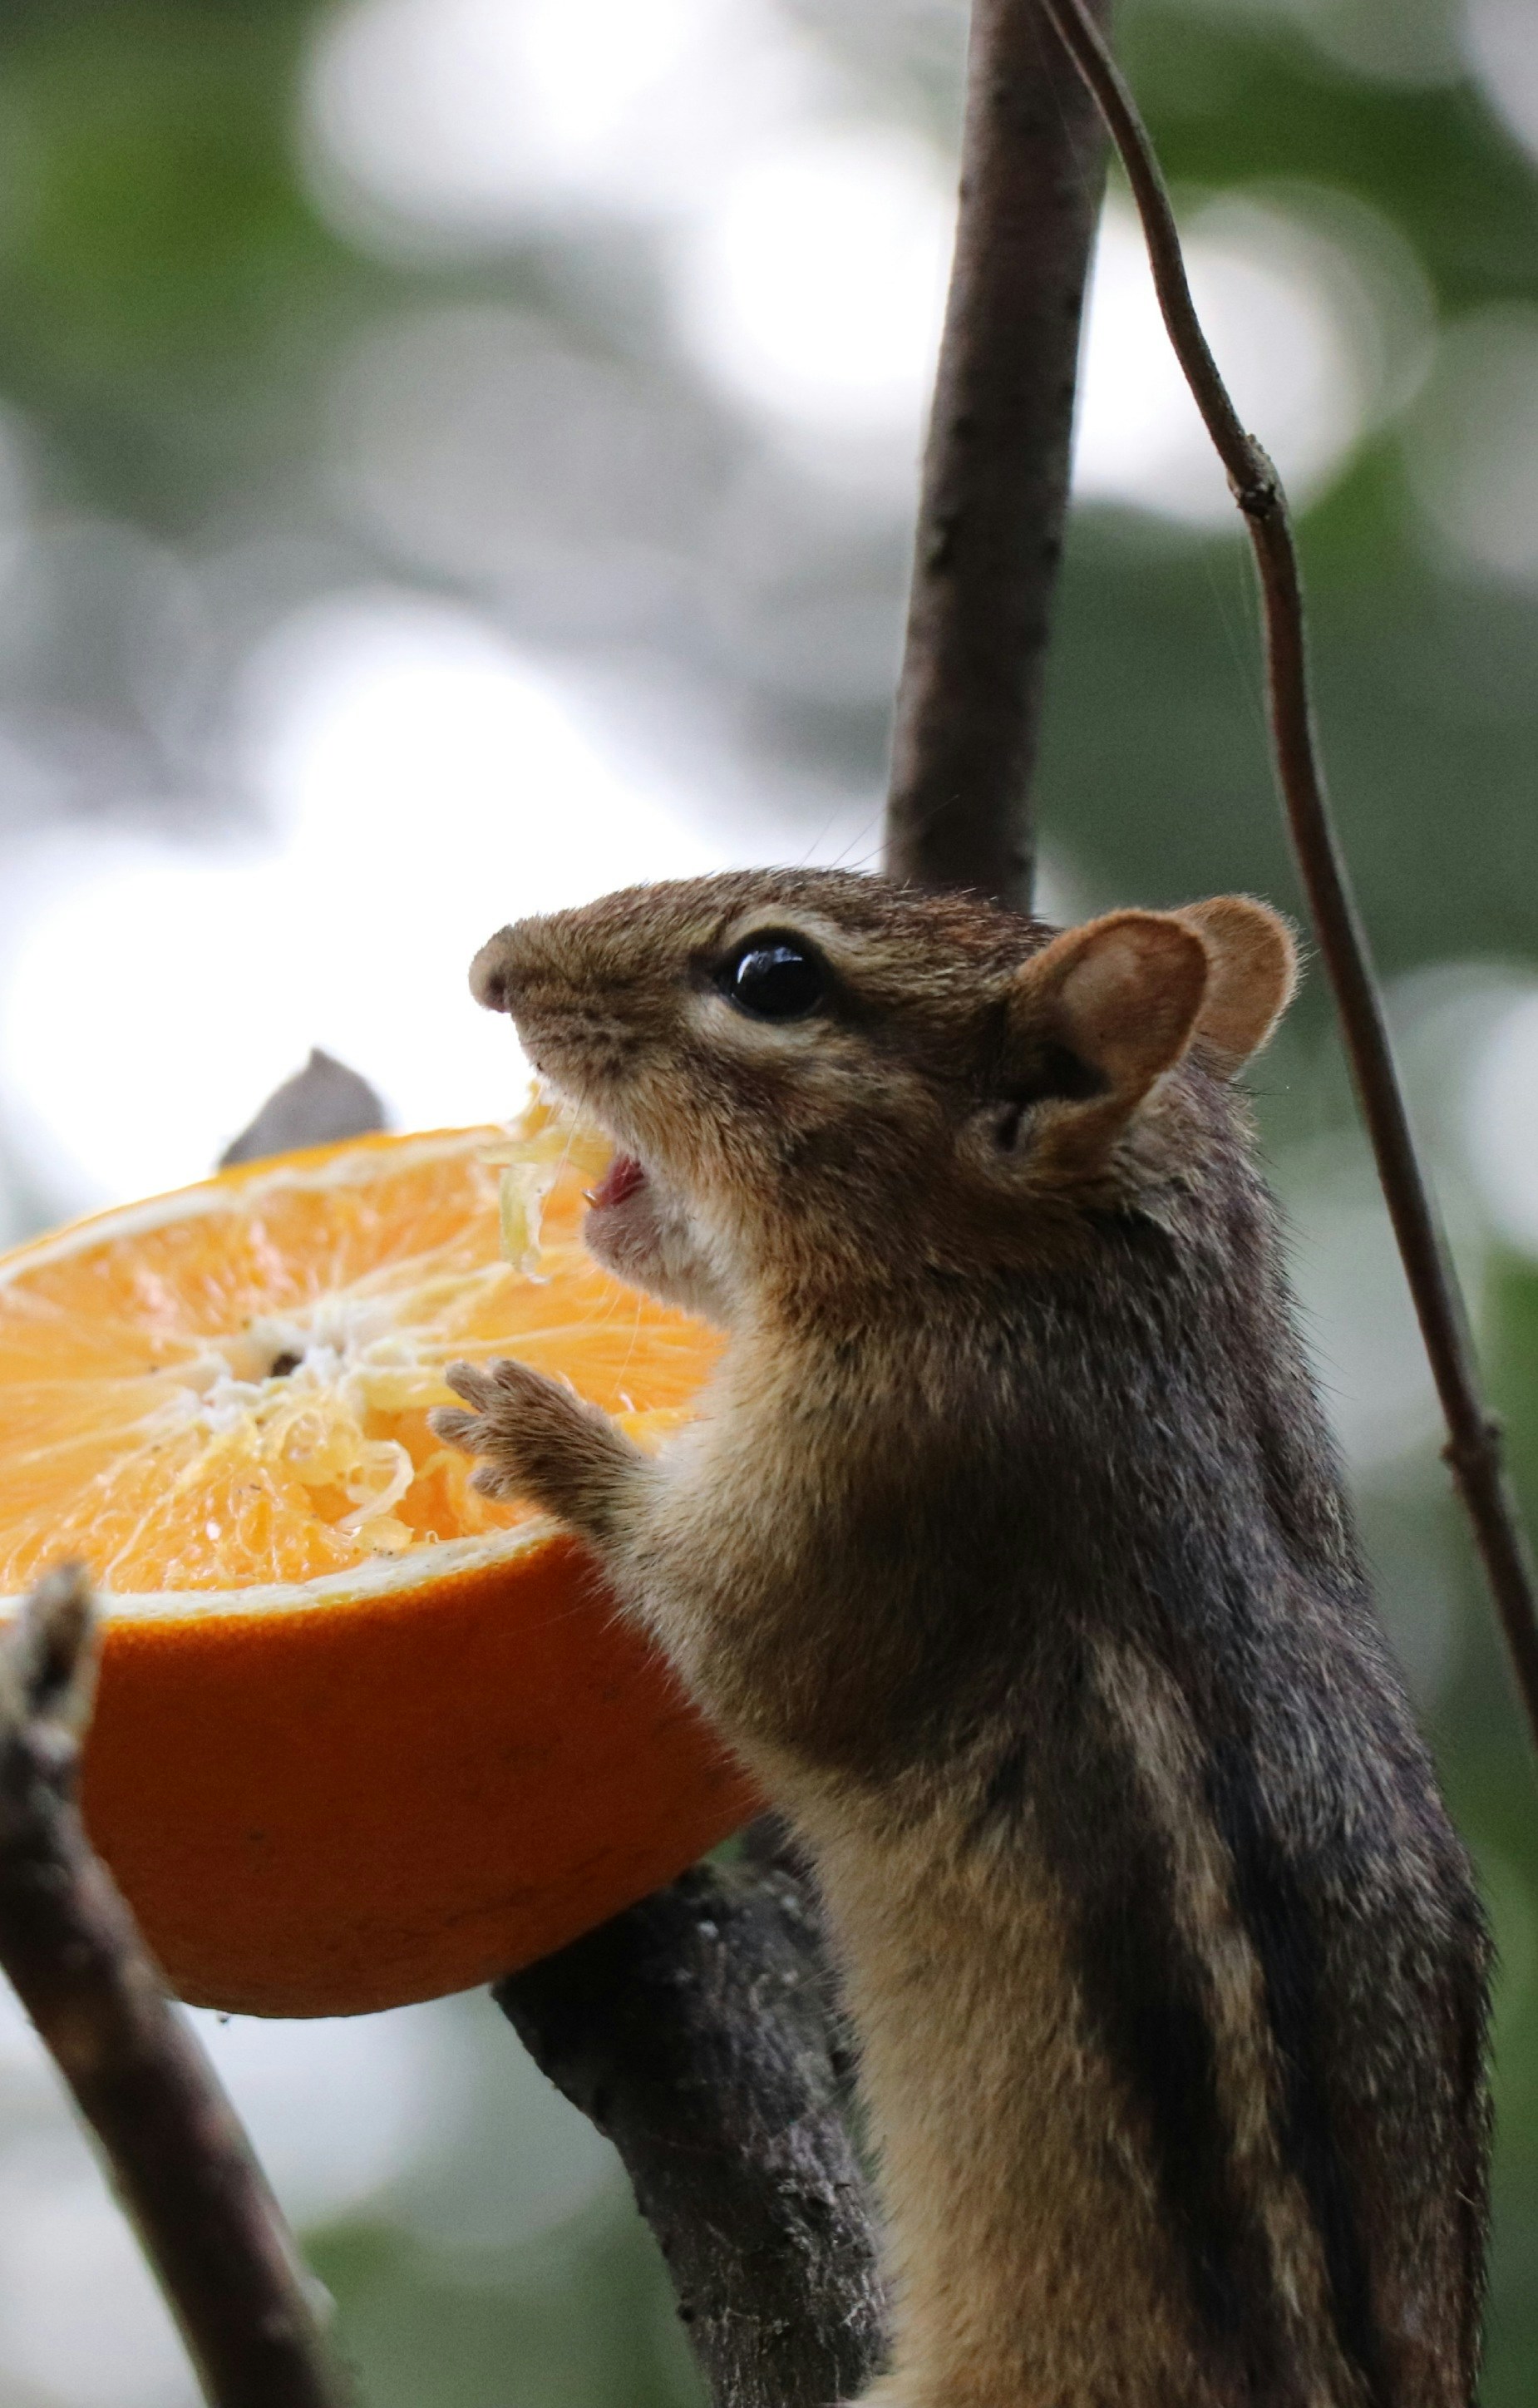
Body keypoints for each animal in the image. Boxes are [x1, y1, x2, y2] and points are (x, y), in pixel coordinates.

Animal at [430, 869, 1490, 2408]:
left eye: (771, 975)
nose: (495, 968)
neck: (1073, 1286)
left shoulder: (878, 1470)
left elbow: (732, 1625)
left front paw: (536, 1429)